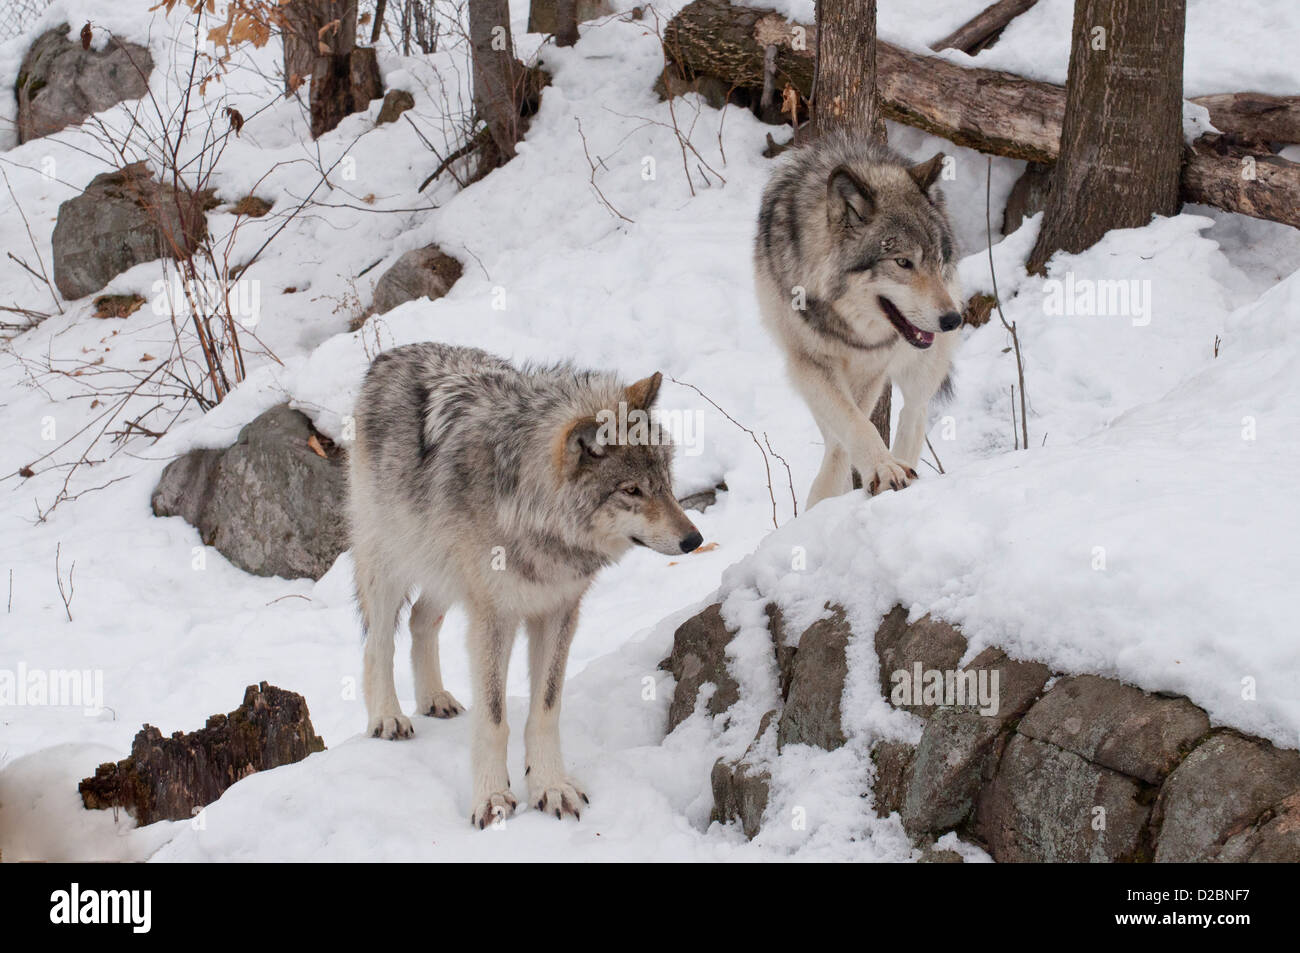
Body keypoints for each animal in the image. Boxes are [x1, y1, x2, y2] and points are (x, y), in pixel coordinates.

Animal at [348, 343, 701, 828]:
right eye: (631, 490)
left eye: (665, 481)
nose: (695, 539)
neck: (534, 513)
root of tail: (390, 355)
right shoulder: (494, 618)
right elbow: (494, 720)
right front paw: (493, 798)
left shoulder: (558, 612)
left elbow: (546, 710)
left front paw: (551, 787)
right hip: (391, 563)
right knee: (377, 642)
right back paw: (387, 717)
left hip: (444, 570)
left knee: (421, 619)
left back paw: (434, 698)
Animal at [754, 132, 963, 508]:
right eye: (903, 262)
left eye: (938, 260)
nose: (953, 319)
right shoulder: (808, 361)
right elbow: (850, 424)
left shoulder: (873, 367)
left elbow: (851, 428)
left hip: (923, 368)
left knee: (914, 415)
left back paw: (907, 464)